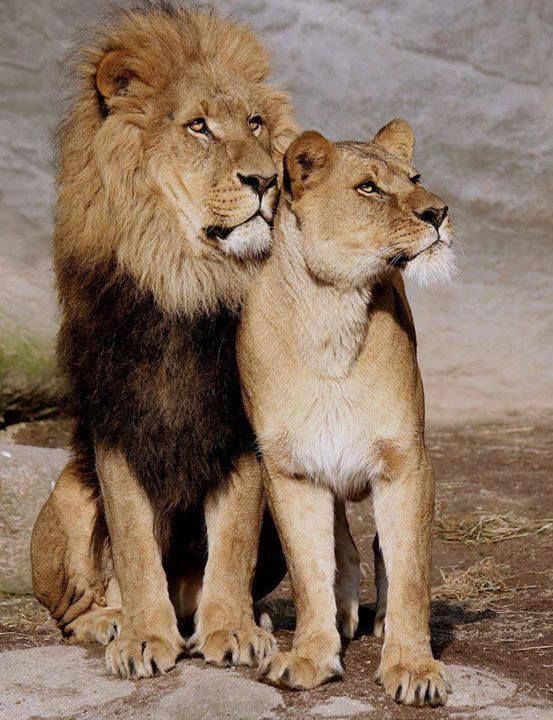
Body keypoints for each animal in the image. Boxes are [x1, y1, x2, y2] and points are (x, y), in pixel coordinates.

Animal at [30, 4, 299, 680]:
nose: (265, 180)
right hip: (69, 492)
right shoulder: (118, 423)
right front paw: (144, 636)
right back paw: (108, 621)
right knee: (72, 609)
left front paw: (231, 628)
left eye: (255, 122)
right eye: (198, 127)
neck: (187, 279)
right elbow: (131, 542)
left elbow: (231, 538)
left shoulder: (240, 427)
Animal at [238, 122, 455, 705]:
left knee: (383, 550)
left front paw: (412, 665)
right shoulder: (290, 470)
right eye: (368, 188)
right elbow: (310, 569)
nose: (439, 212)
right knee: (344, 546)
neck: (331, 312)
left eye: (415, 178)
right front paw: (312, 656)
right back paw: (344, 614)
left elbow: (409, 571)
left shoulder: (407, 462)